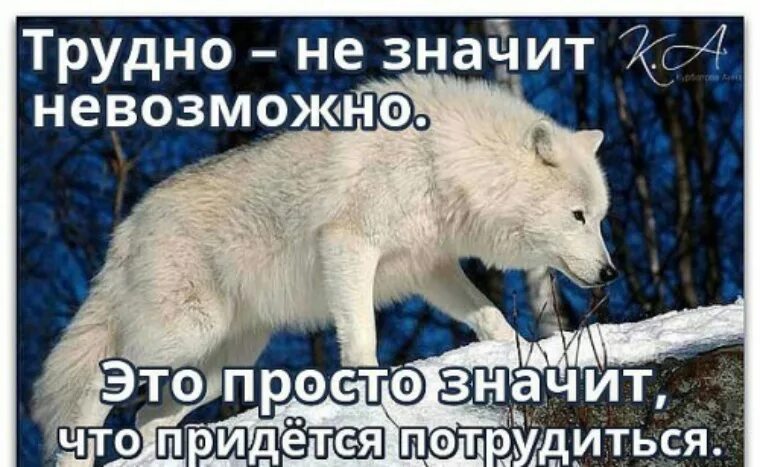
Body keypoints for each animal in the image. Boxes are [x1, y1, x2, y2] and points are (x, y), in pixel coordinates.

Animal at [32, 73, 617, 465]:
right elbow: (362, 339)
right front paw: (369, 394)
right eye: (578, 216)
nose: (610, 274)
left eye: (600, 217)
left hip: (225, 363)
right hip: (183, 332)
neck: (439, 158)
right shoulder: (349, 246)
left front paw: (528, 354)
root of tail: (129, 224)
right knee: (92, 386)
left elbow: (491, 317)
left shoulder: (431, 268)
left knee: (146, 417)